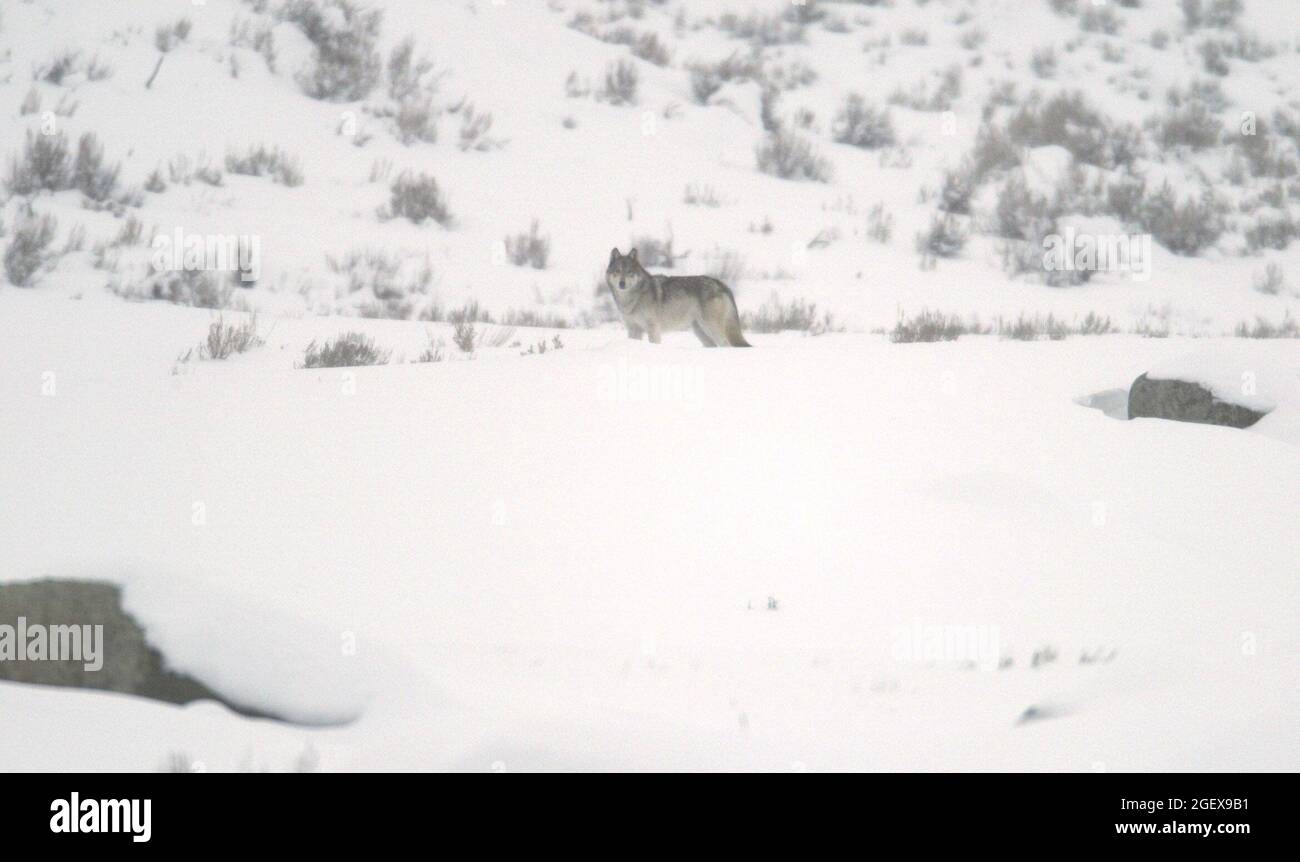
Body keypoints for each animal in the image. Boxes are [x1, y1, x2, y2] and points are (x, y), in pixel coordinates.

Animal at [606, 248, 751, 347]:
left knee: (726, 344)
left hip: (711, 327)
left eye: (629, 272)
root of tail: (720, 283)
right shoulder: (633, 330)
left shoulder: (653, 329)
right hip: (701, 332)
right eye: (617, 271)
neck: (632, 299)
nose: (622, 283)